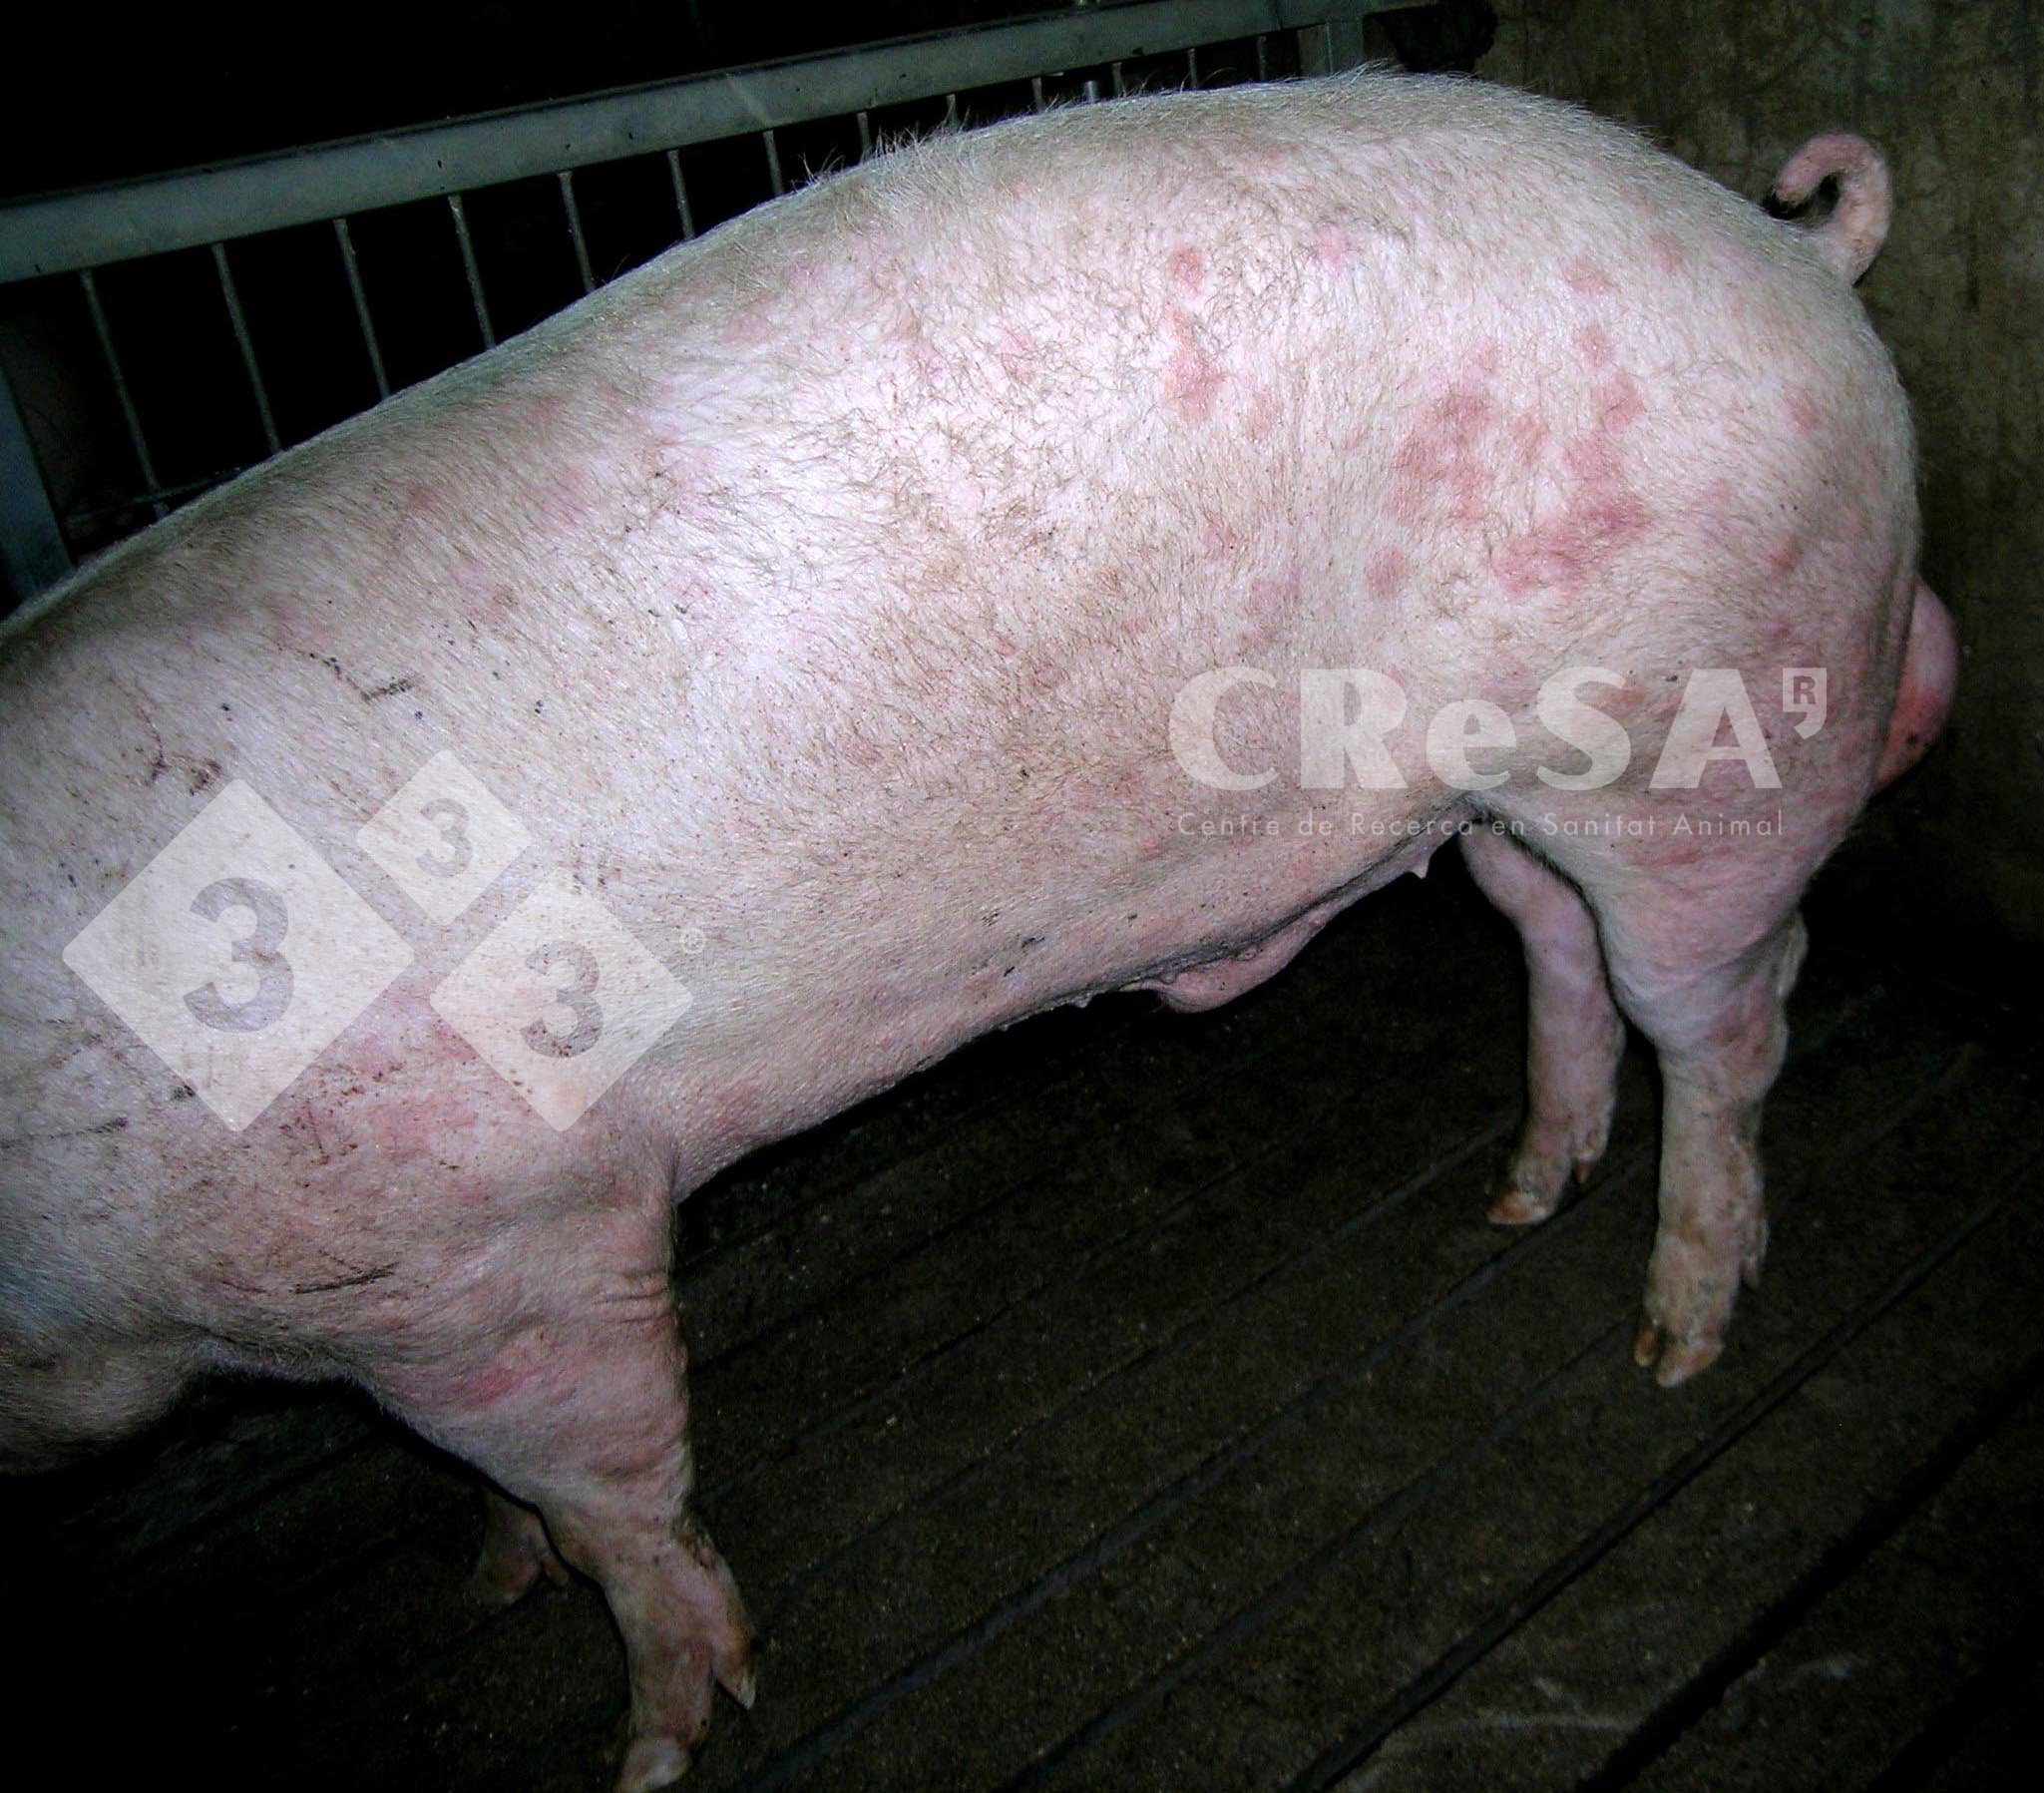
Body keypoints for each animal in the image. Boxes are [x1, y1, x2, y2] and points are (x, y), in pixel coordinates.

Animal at [0, 71, 1953, 1788]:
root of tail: (1794, 248)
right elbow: (518, 1500)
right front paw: (490, 1577)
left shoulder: (502, 1240)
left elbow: (614, 1489)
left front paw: (650, 1743)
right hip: (1503, 788)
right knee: (1552, 939)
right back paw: (1520, 1190)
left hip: (1712, 733)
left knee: (1731, 1013)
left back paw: (1675, 1335)